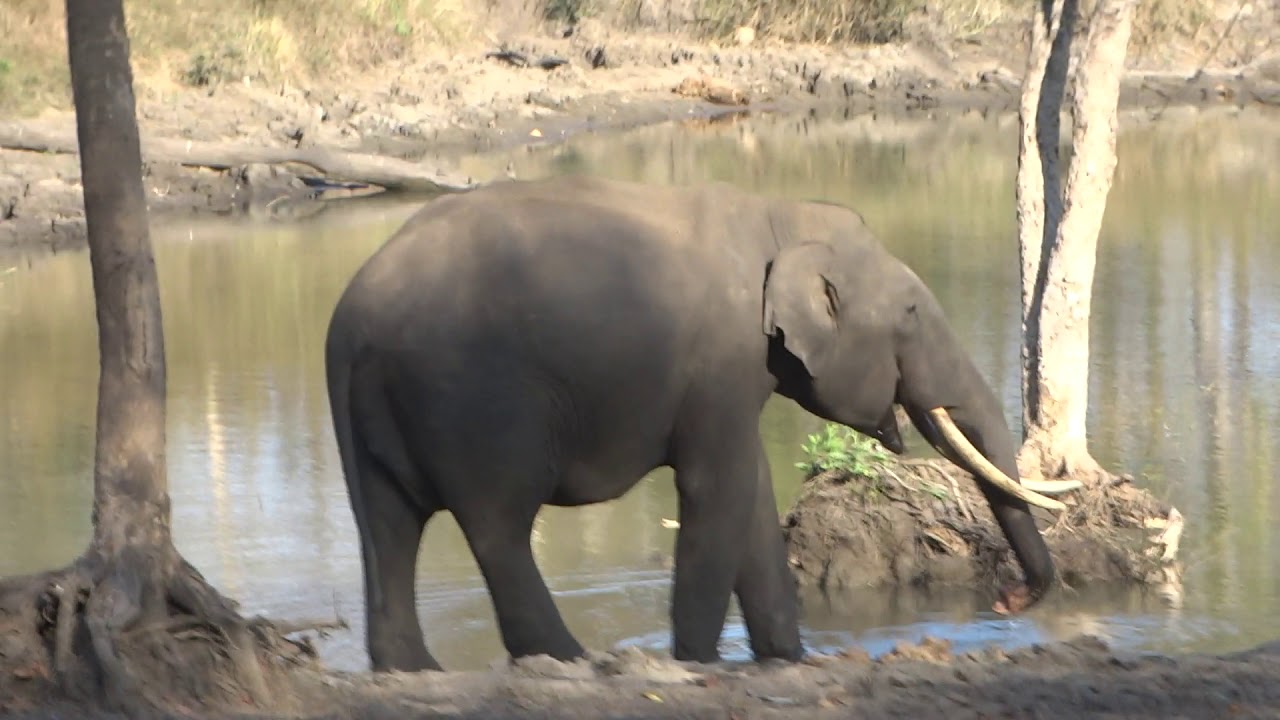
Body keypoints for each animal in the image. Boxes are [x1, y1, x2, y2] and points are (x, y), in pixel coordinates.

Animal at [323, 174, 1080, 673]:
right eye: (914, 314)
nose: (1010, 600)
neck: (780, 214)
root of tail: (352, 316)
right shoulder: (720, 362)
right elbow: (719, 489)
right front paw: (697, 664)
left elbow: (752, 496)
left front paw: (788, 660)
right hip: (473, 399)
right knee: (496, 526)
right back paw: (575, 660)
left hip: (368, 410)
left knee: (385, 526)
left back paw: (413, 670)